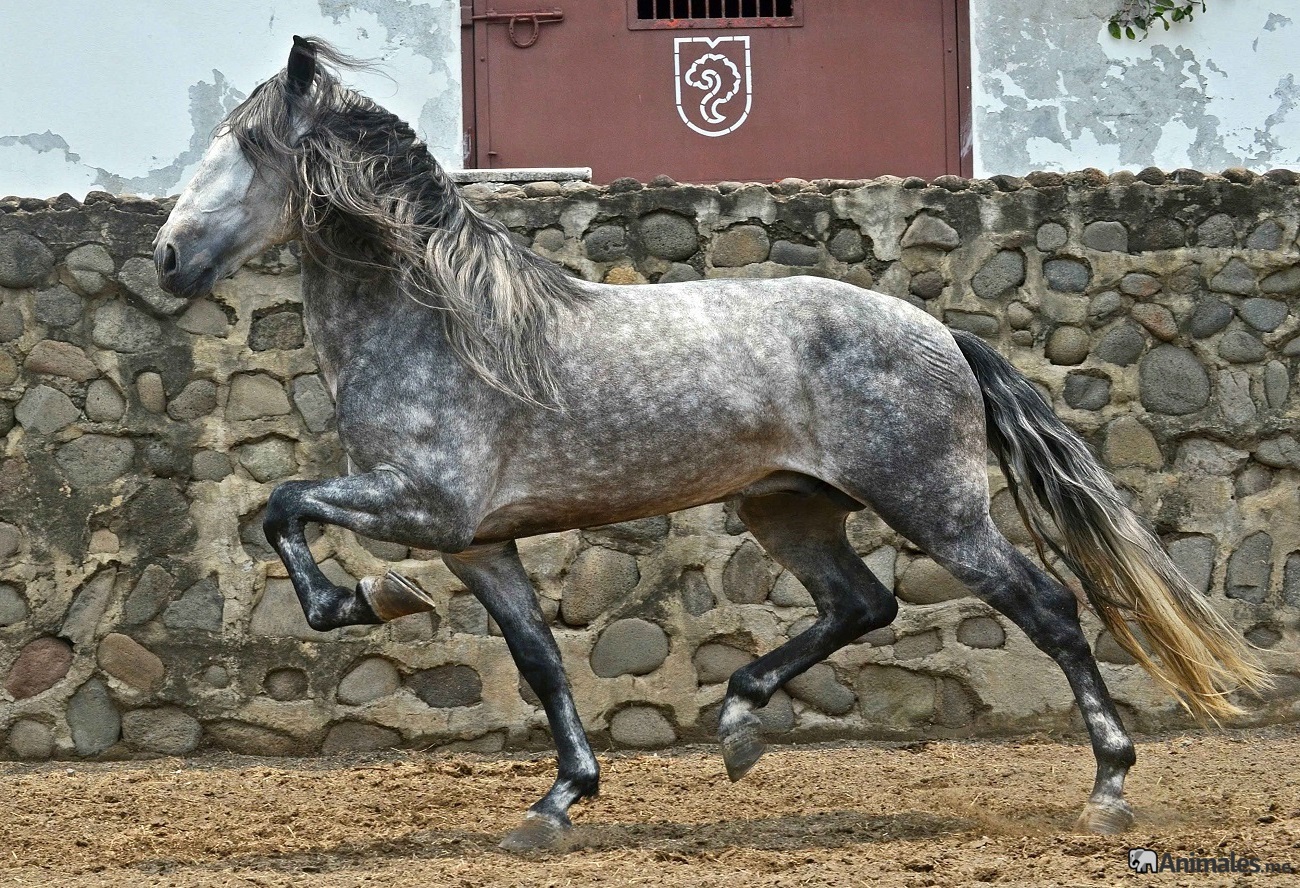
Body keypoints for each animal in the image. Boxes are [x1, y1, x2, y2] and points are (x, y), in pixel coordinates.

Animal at [153, 36, 1268, 852]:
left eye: (248, 148)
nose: (165, 258)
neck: (443, 326)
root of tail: (941, 333)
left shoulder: (426, 505)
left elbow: (283, 507)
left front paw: (369, 598)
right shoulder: (480, 544)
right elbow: (540, 662)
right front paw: (557, 804)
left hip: (935, 507)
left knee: (1046, 607)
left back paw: (1108, 790)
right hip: (784, 506)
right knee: (861, 604)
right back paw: (738, 727)